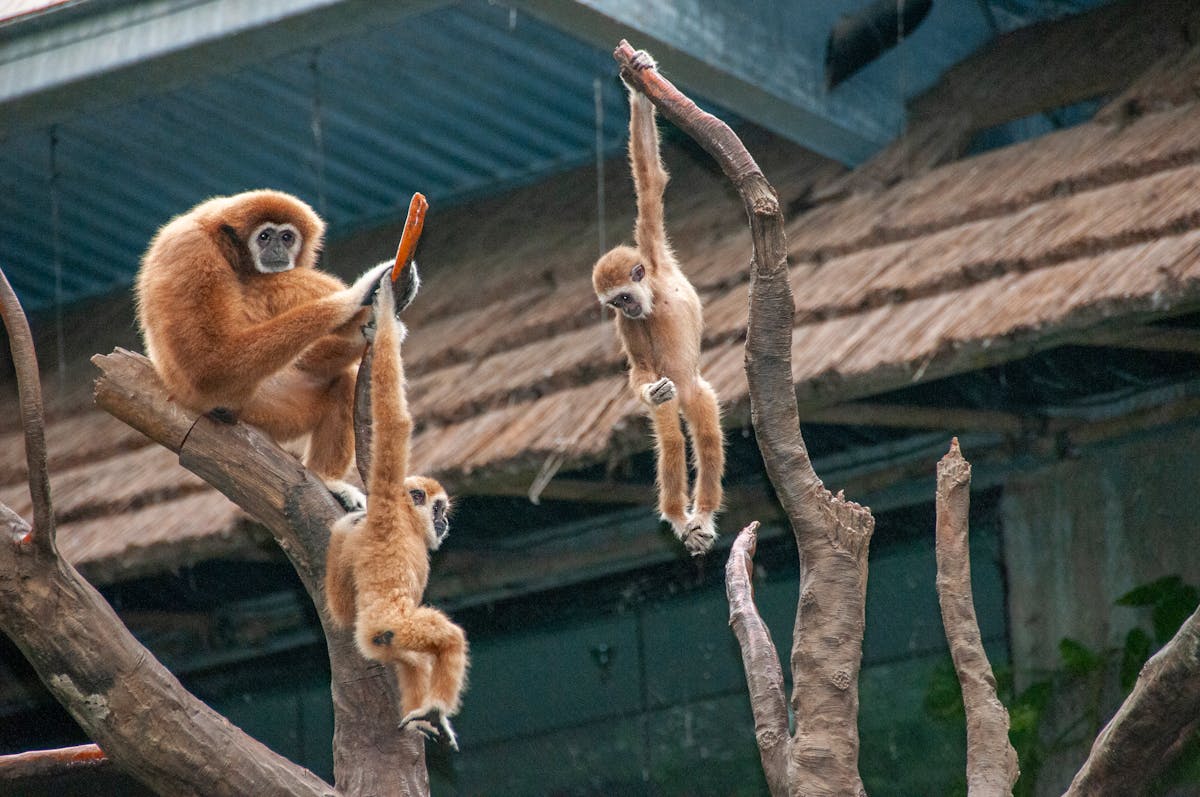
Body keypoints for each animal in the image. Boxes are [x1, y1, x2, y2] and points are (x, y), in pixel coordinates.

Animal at [135, 189, 419, 510]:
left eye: (286, 237)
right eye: (264, 236)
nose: (277, 250)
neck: (221, 243)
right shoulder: (191, 252)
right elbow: (209, 364)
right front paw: (359, 296)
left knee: (342, 379)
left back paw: (328, 480)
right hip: (241, 401)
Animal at [324, 273, 468, 750]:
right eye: (438, 509)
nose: (443, 521)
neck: (403, 517)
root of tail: (373, 634)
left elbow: (339, 608)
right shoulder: (386, 490)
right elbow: (393, 422)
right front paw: (384, 311)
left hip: (385, 638)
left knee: (410, 659)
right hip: (395, 625)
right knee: (447, 638)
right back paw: (437, 709)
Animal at [592, 52, 725, 556]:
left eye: (625, 296)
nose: (627, 309)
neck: (654, 295)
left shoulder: (651, 248)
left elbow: (650, 181)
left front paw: (637, 83)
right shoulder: (628, 329)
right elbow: (641, 373)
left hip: (693, 389)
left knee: (703, 426)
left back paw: (702, 513)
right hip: (671, 396)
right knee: (669, 434)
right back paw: (679, 517)